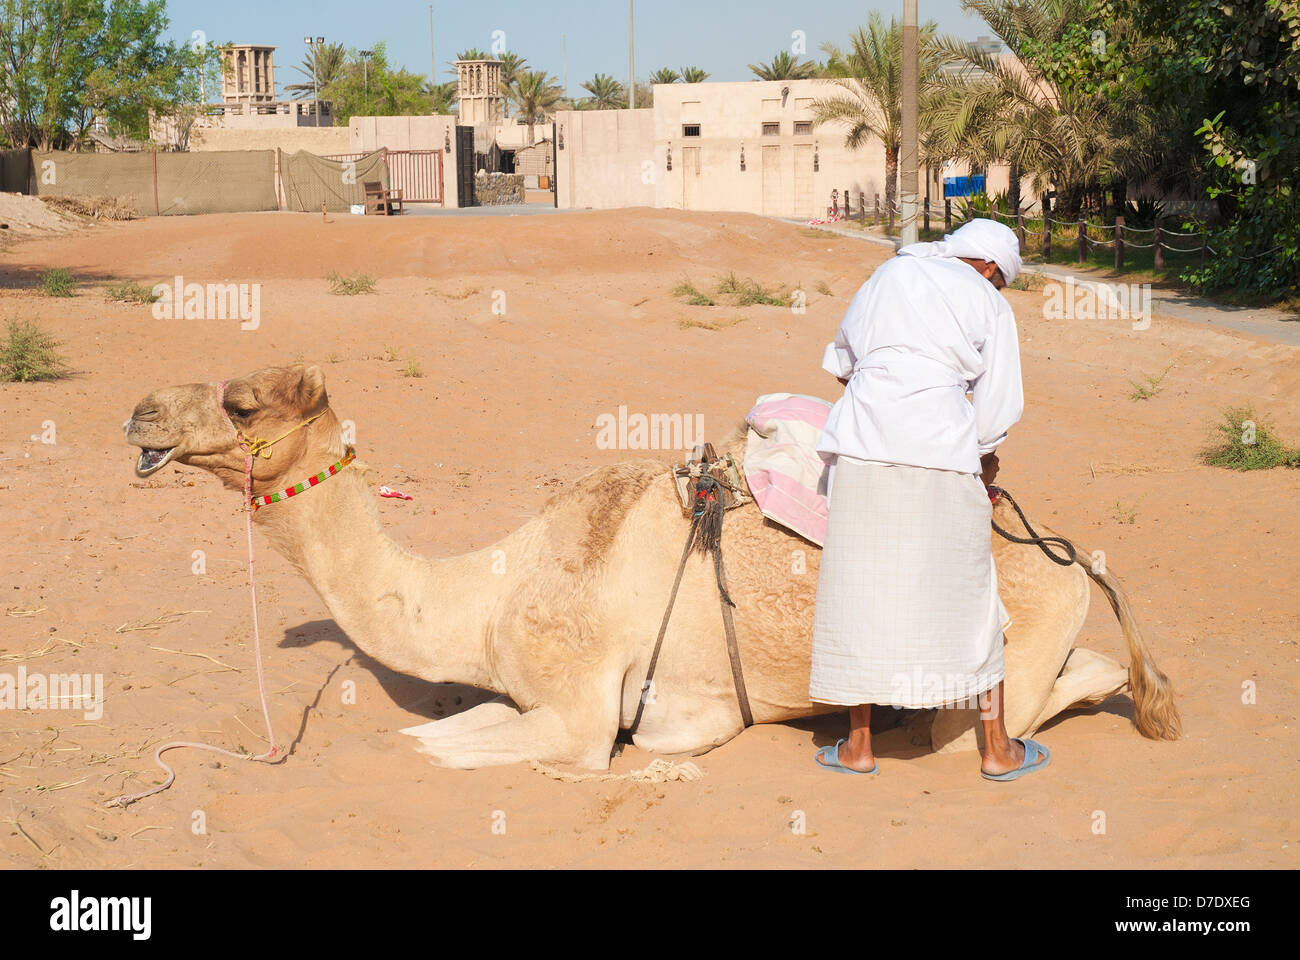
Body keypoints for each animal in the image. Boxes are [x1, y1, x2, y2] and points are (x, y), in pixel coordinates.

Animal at [124, 364, 1179, 770]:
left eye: (241, 403)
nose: (139, 415)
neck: (489, 593)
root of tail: (1065, 554)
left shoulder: (583, 716)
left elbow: (423, 747)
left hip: (989, 667)